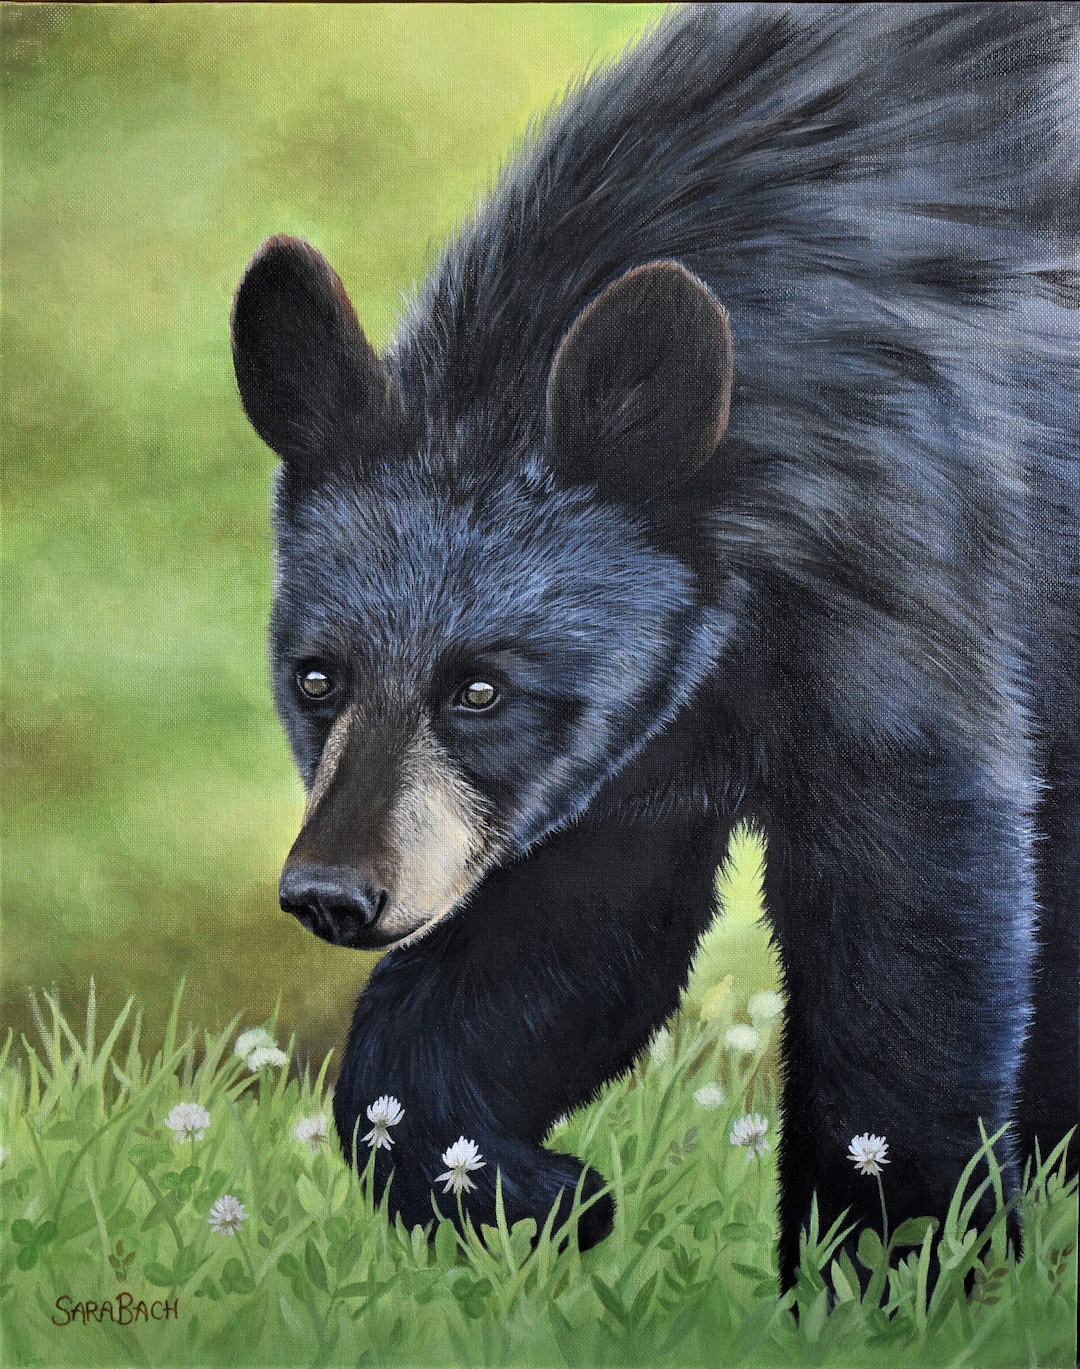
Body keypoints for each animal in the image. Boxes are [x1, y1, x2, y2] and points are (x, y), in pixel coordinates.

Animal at [230, 3, 1079, 1289]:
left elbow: (917, 918)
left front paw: (896, 1269)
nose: (334, 892)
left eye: (482, 688)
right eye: (316, 677)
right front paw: (532, 1191)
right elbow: (571, 932)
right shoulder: (639, 729)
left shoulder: (908, 573)